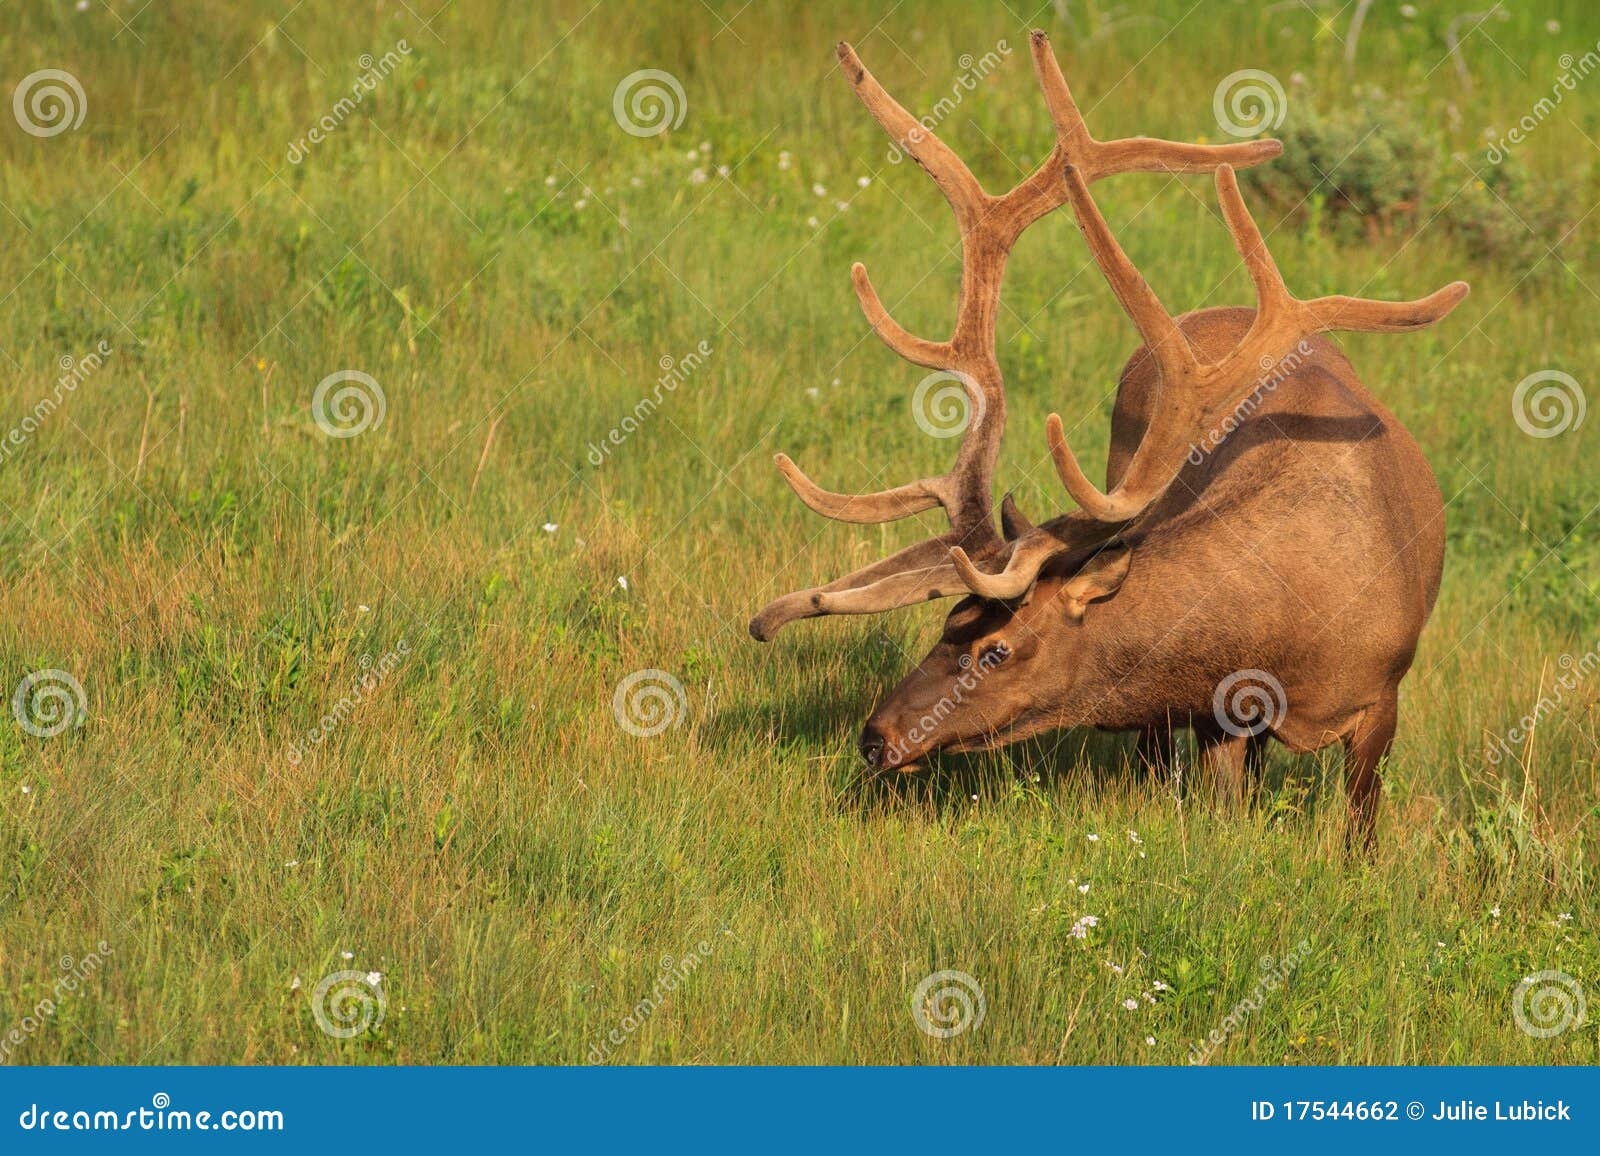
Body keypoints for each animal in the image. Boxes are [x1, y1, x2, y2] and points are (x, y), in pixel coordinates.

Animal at [749, 32, 1468, 847]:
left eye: (996, 649)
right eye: (946, 620)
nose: (876, 738)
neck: (1285, 642)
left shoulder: (1382, 699)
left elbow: (1358, 832)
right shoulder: (1216, 708)